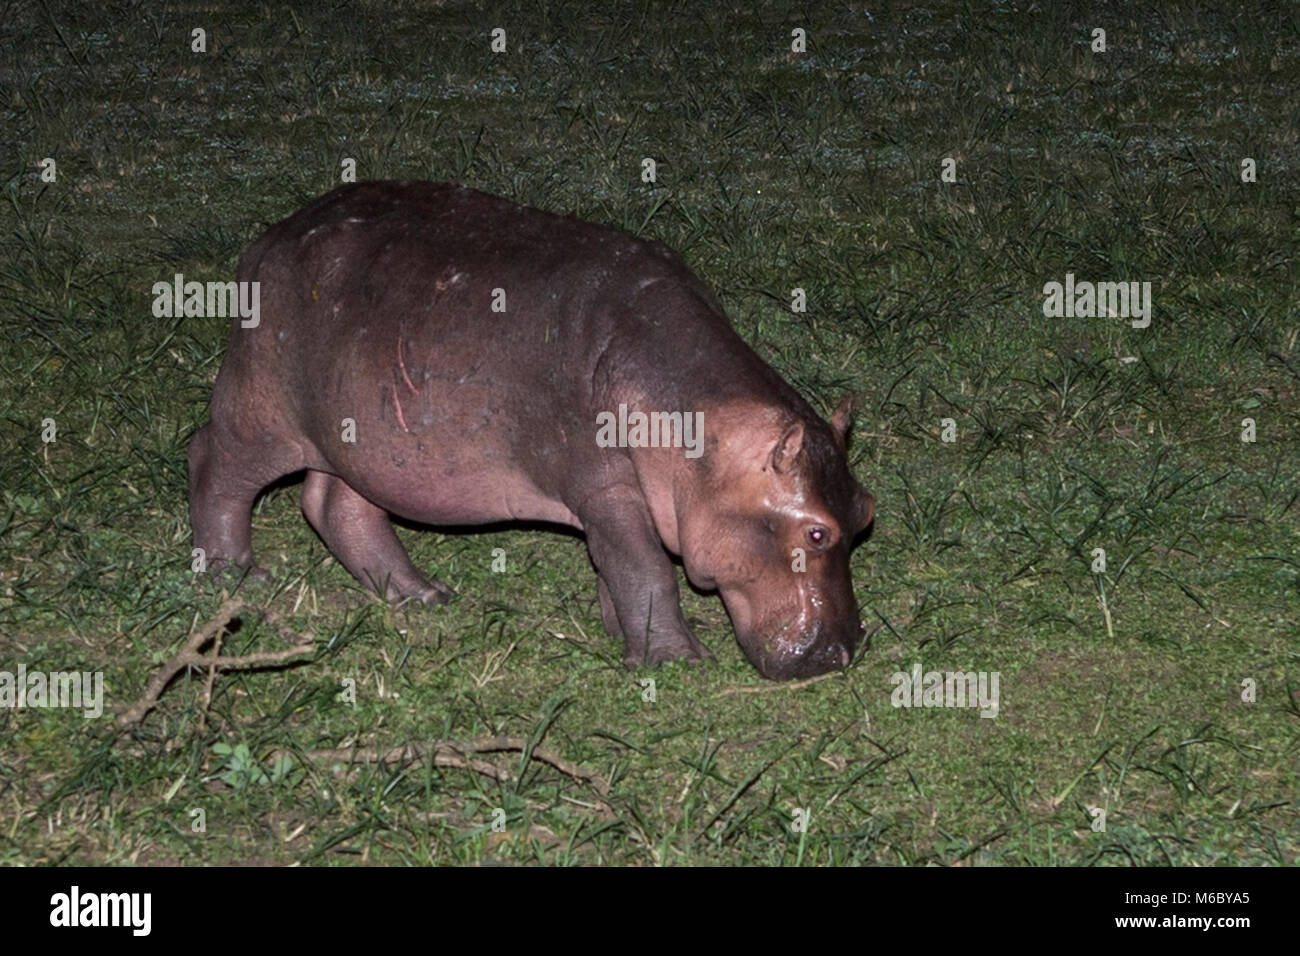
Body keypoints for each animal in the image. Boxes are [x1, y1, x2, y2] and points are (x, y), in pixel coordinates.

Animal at [188, 182, 875, 679]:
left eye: (866, 512)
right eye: (817, 532)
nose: (844, 653)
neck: (699, 427)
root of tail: (270, 238)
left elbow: (615, 567)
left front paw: (620, 632)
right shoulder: (605, 488)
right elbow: (643, 565)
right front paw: (675, 661)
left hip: (362, 438)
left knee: (336, 506)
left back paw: (423, 595)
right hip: (263, 413)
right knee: (214, 462)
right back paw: (234, 575)